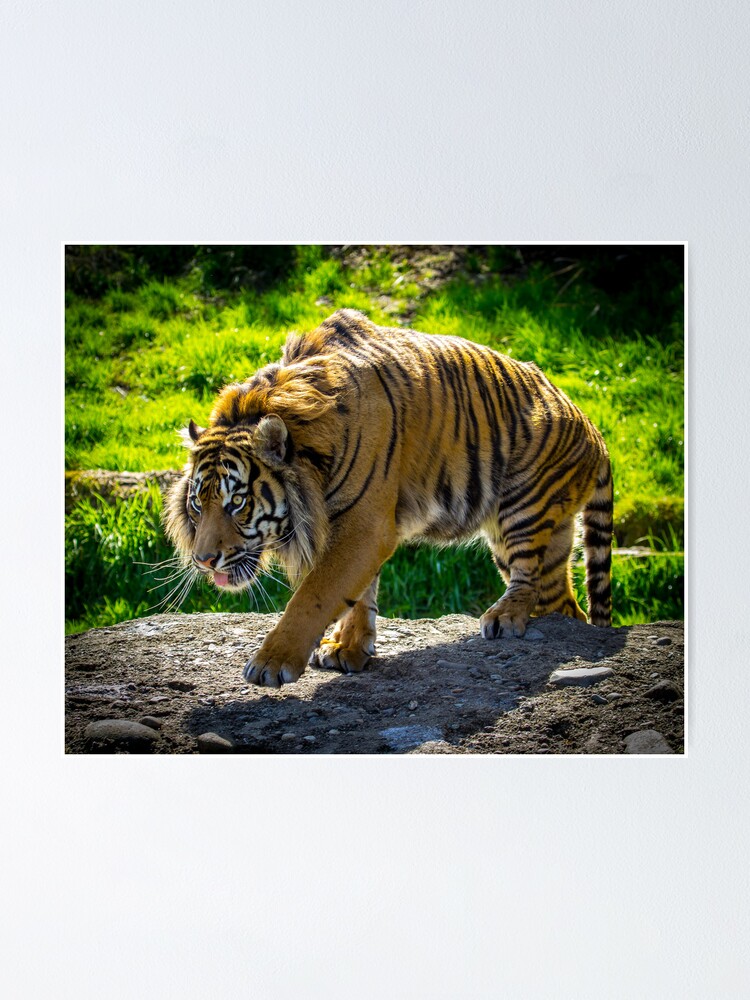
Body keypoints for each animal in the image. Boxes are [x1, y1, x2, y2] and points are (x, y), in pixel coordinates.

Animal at [164, 308, 613, 687]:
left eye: (236, 503)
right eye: (197, 504)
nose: (203, 560)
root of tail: (597, 431)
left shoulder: (363, 525)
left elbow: (313, 596)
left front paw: (272, 663)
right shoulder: (355, 524)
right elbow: (358, 594)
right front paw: (348, 648)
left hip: (521, 511)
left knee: (527, 579)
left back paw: (504, 616)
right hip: (539, 540)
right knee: (566, 607)